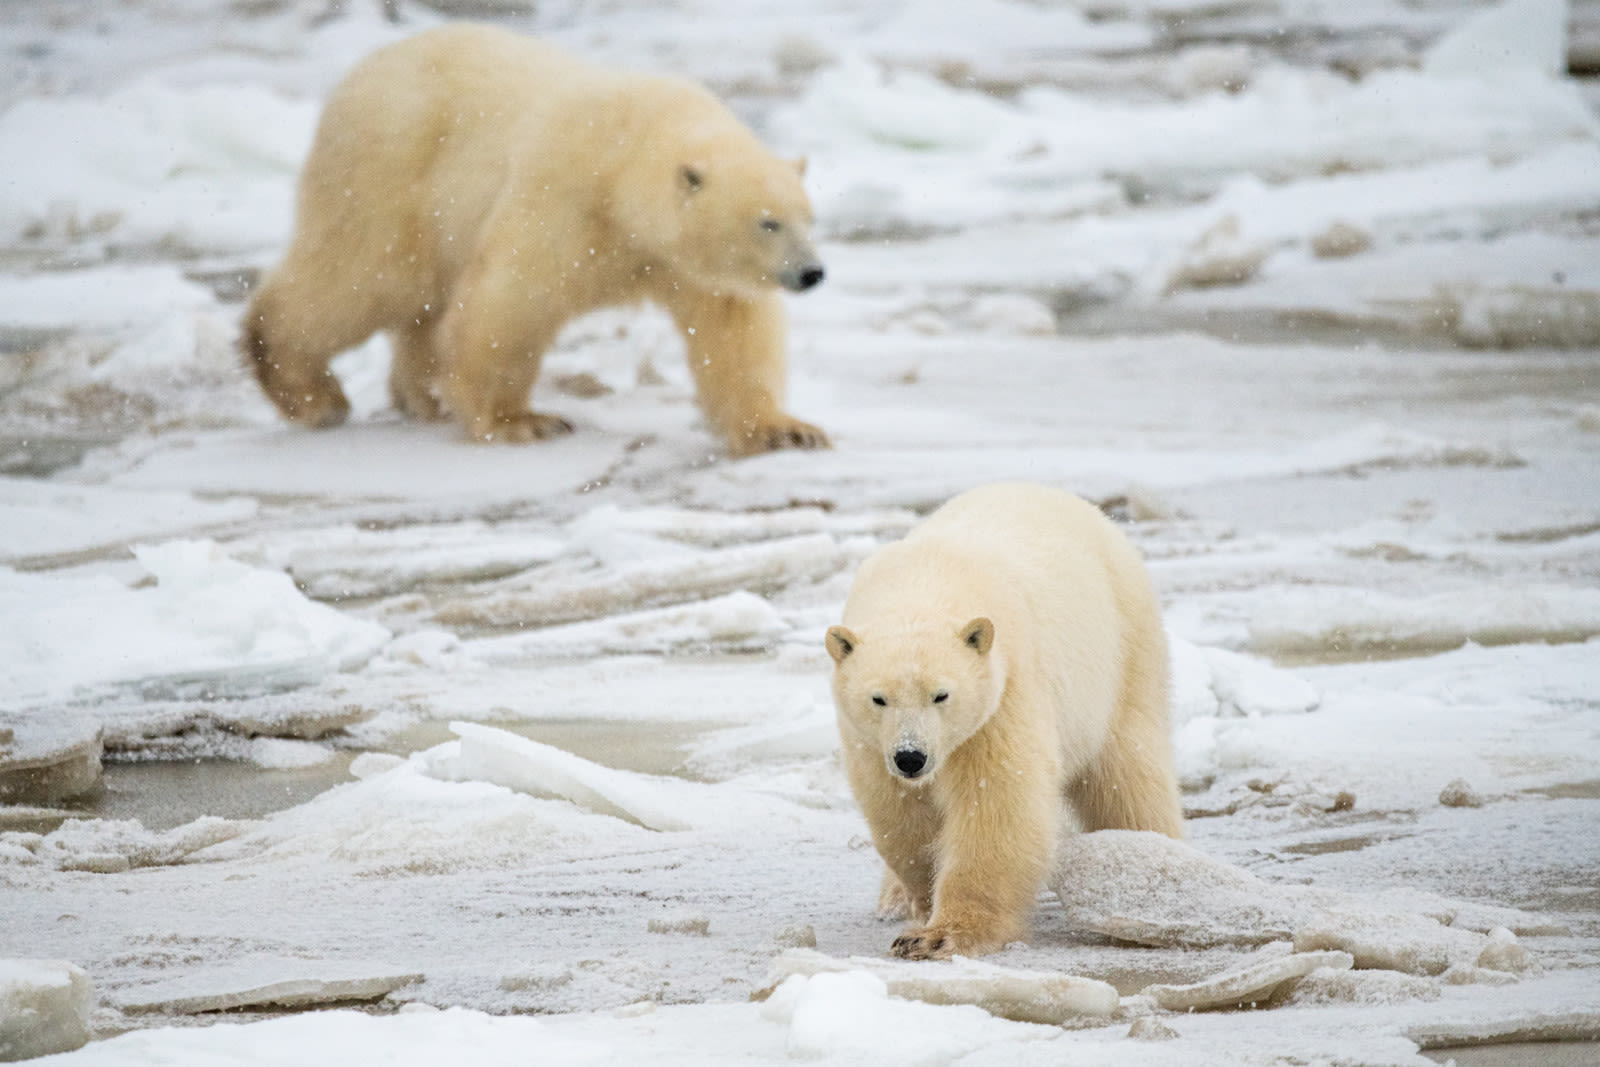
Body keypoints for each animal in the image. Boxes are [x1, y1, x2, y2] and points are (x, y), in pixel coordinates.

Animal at [243, 24, 830, 456]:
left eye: (809, 217)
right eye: (767, 222)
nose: (811, 273)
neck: (628, 161)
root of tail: (362, 71)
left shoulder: (691, 269)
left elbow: (733, 334)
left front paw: (786, 430)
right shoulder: (568, 200)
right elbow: (513, 302)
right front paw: (522, 421)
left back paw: (423, 397)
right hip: (389, 172)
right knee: (361, 277)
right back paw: (312, 394)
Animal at [825, 482, 1184, 960]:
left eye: (941, 694)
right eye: (878, 698)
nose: (911, 757)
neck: (927, 580)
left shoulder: (1005, 688)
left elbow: (997, 802)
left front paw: (939, 935)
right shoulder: (867, 740)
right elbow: (897, 810)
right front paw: (919, 901)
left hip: (1125, 651)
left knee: (1128, 772)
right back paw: (892, 899)